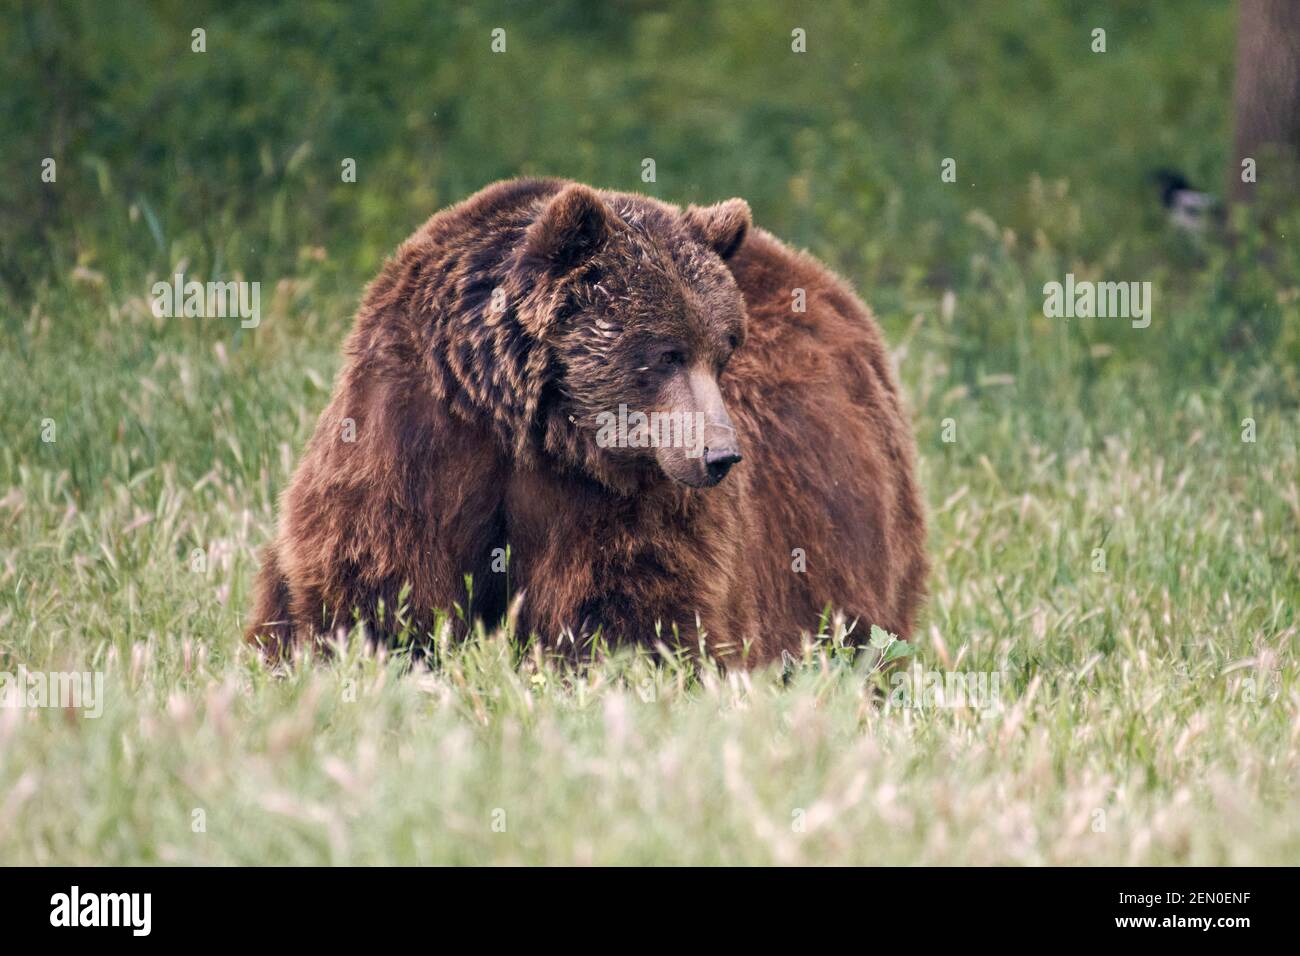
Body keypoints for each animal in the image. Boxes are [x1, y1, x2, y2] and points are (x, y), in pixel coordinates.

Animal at [245, 178, 927, 667]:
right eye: (667, 353)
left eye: (724, 351)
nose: (720, 456)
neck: (533, 429)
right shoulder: (418, 431)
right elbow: (375, 576)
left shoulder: (626, 494)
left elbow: (630, 601)